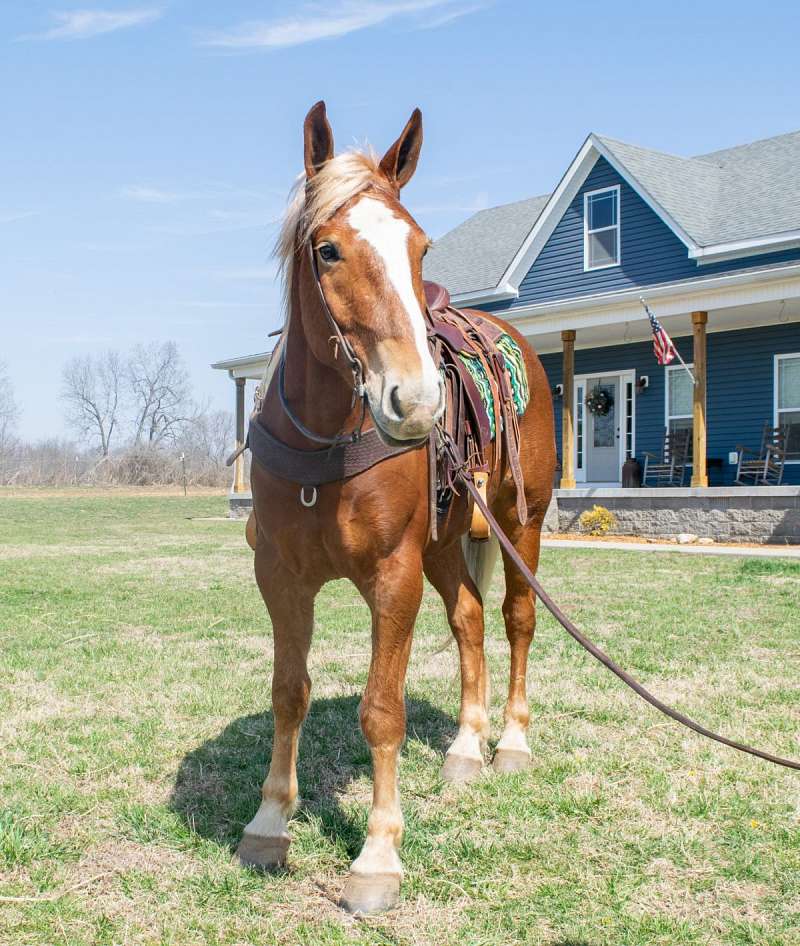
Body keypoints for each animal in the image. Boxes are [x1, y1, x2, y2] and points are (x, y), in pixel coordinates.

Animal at [239, 101, 556, 914]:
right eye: (327, 250)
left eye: (420, 247)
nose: (415, 403)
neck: (324, 440)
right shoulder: (280, 579)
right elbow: (289, 693)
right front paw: (269, 821)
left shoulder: (393, 578)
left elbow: (382, 710)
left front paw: (377, 856)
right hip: (445, 545)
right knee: (470, 619)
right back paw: (466, 747)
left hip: (521, 522)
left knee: (515, 619)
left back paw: (510, 742)